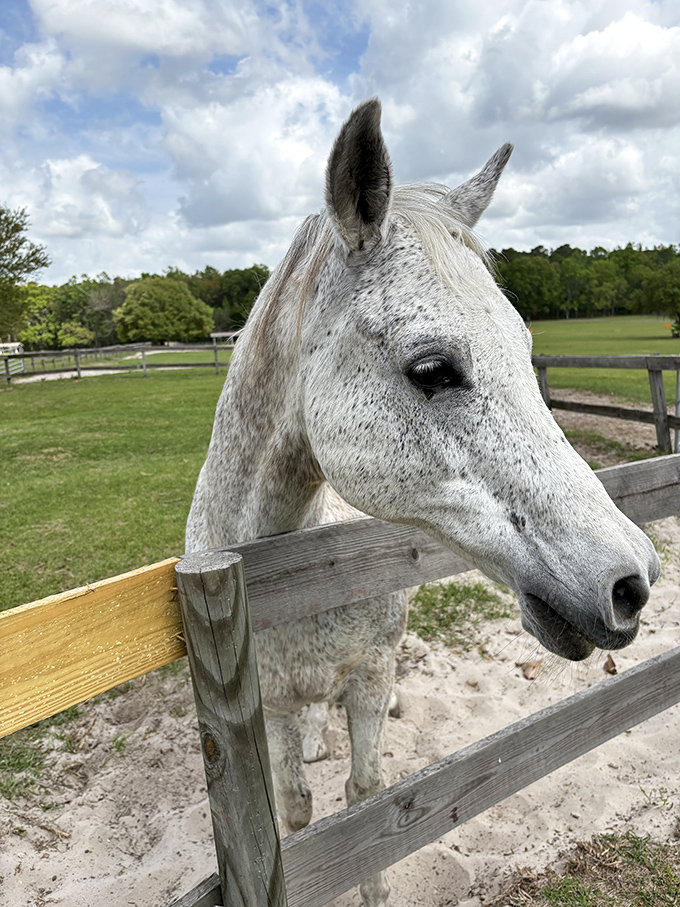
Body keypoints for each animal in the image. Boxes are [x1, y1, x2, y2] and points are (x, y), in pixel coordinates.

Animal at [185, 99, 660, 907]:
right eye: (433, 369)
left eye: (526, 350)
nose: (631, 582)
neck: (279, 576)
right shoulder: (268, 709)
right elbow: (298, 811)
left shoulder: (369, 680)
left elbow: (366, 800)